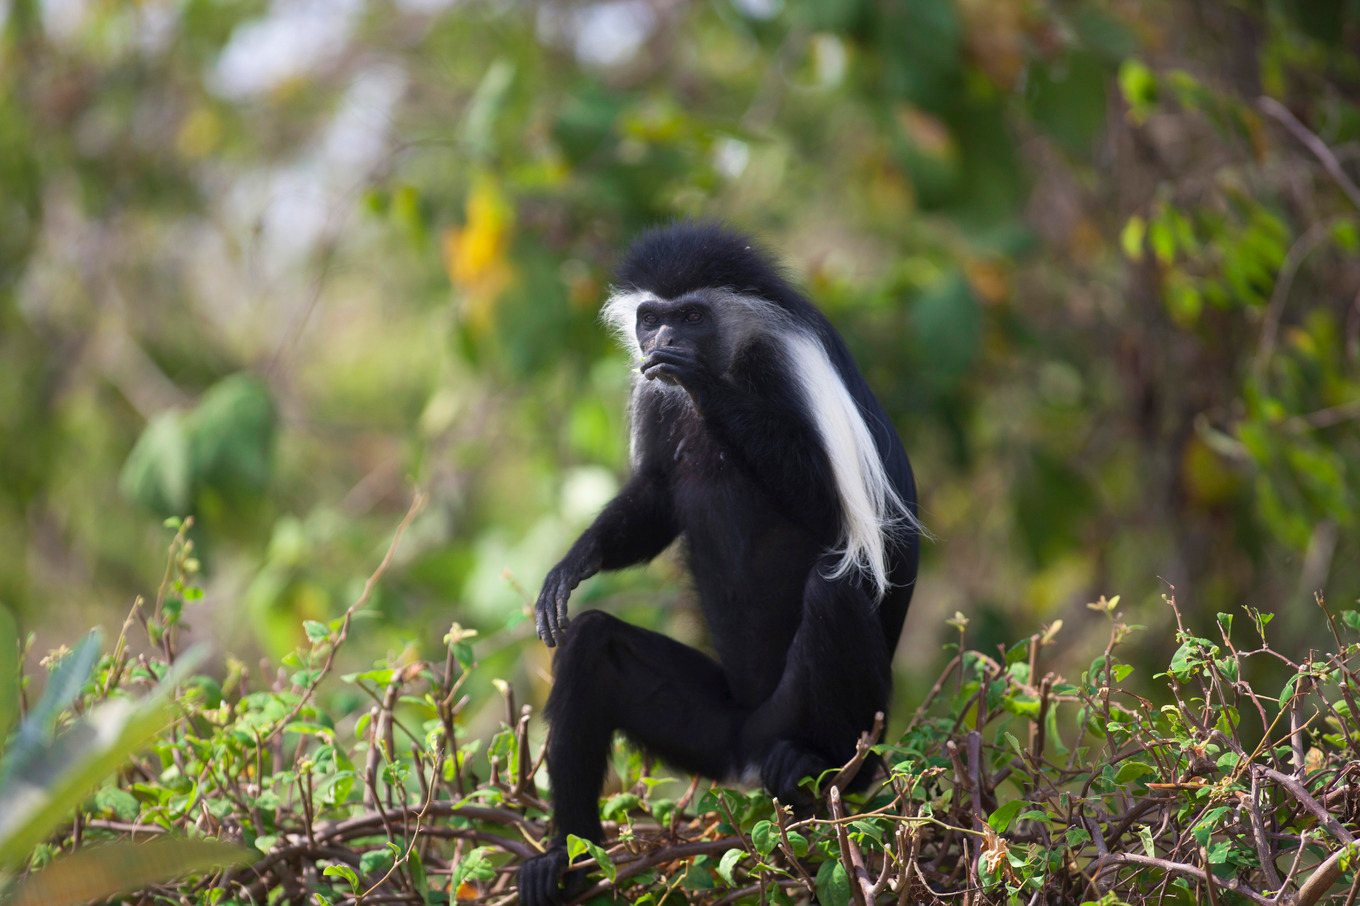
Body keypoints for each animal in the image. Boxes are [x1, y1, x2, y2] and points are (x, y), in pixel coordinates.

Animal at [516, 222, 921, 906]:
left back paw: (825, 767)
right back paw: (563, 863)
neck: (733, 351)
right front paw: (570, 567)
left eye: (692, 317)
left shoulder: (790, 367)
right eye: (652, 318)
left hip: (819, 712)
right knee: (592, 645)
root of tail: (752, 746)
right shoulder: (652, 393)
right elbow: (656, 495)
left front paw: (702, 382)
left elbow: (839, 514)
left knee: (833, 595)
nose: (664, 343)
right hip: (714, 728)